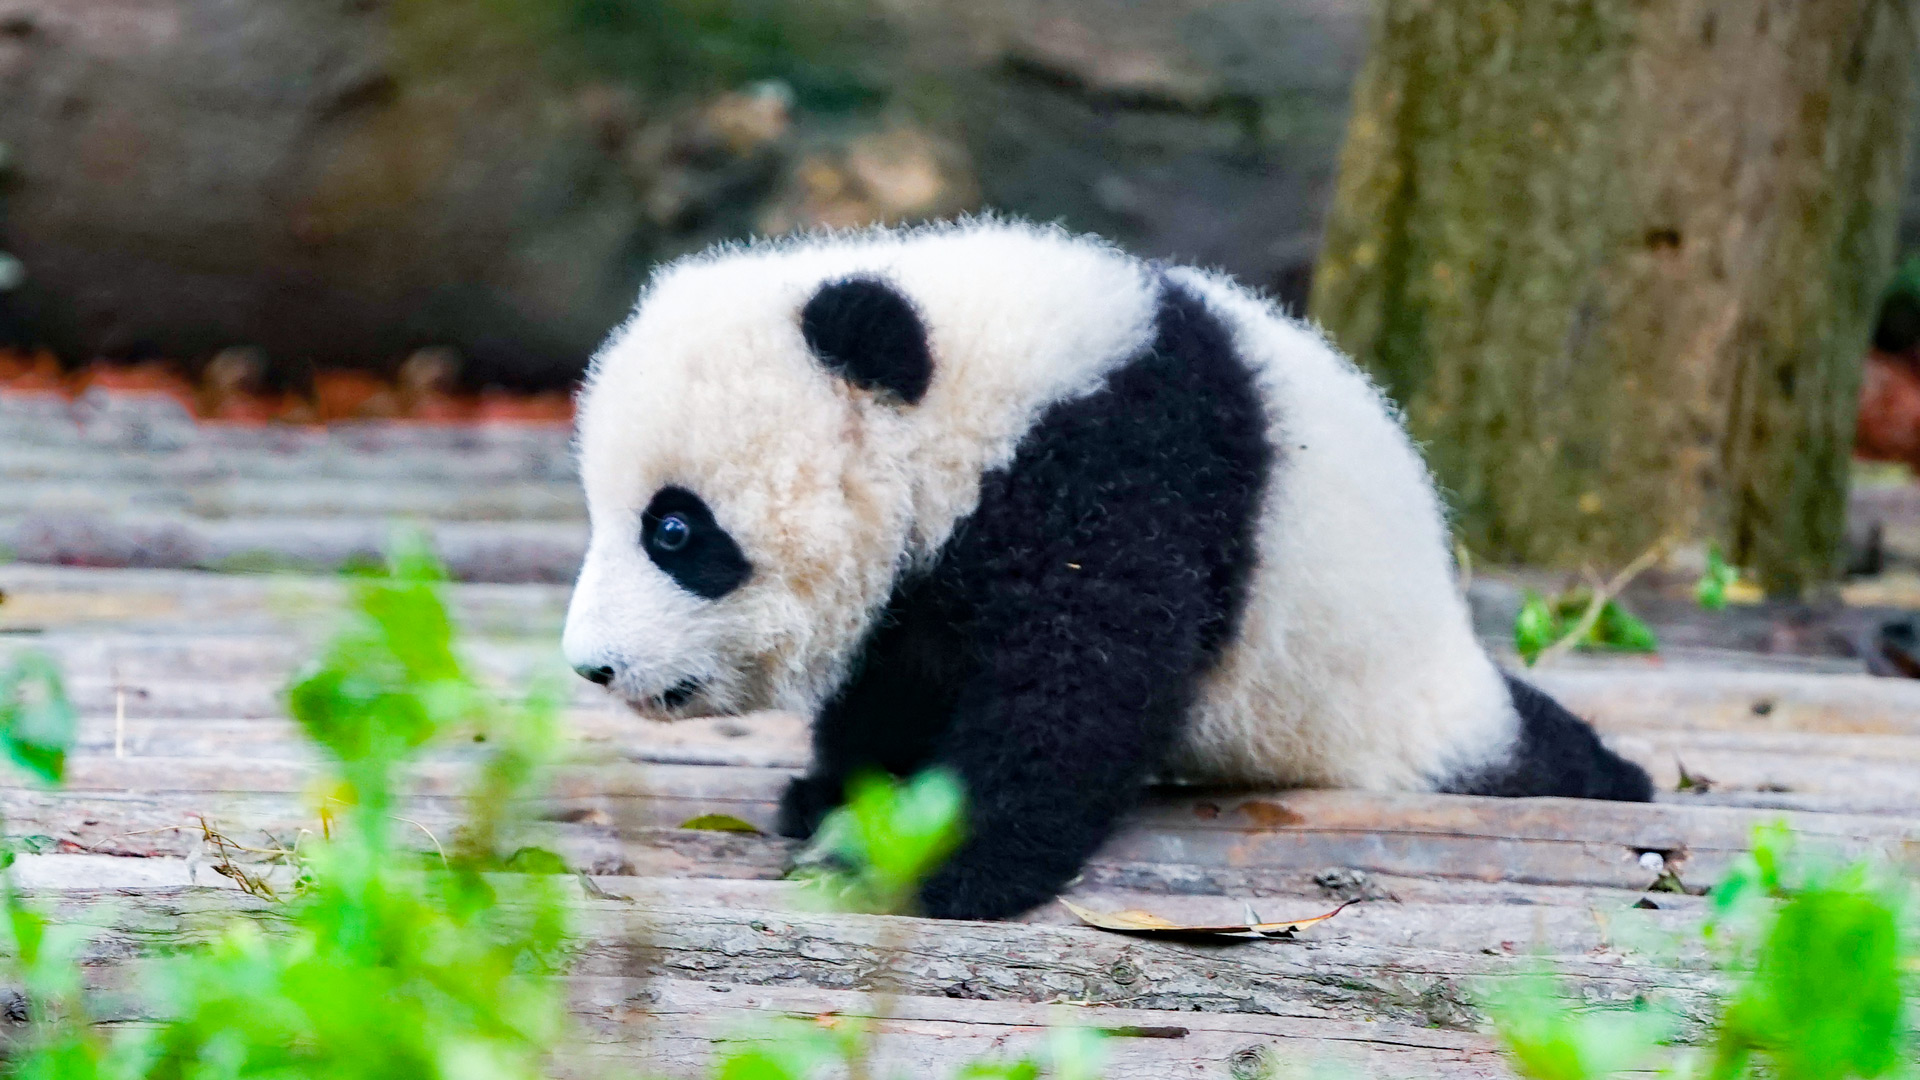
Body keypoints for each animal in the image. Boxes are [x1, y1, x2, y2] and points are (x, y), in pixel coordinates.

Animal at [562, 217, 1654, 921]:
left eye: (674, 531)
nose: (593, 667)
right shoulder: (939, 564)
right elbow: (903, 672)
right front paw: (837, 798)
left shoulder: (1123, 473)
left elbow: (1076, 689)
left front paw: (922, 866)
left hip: (1379, 698)